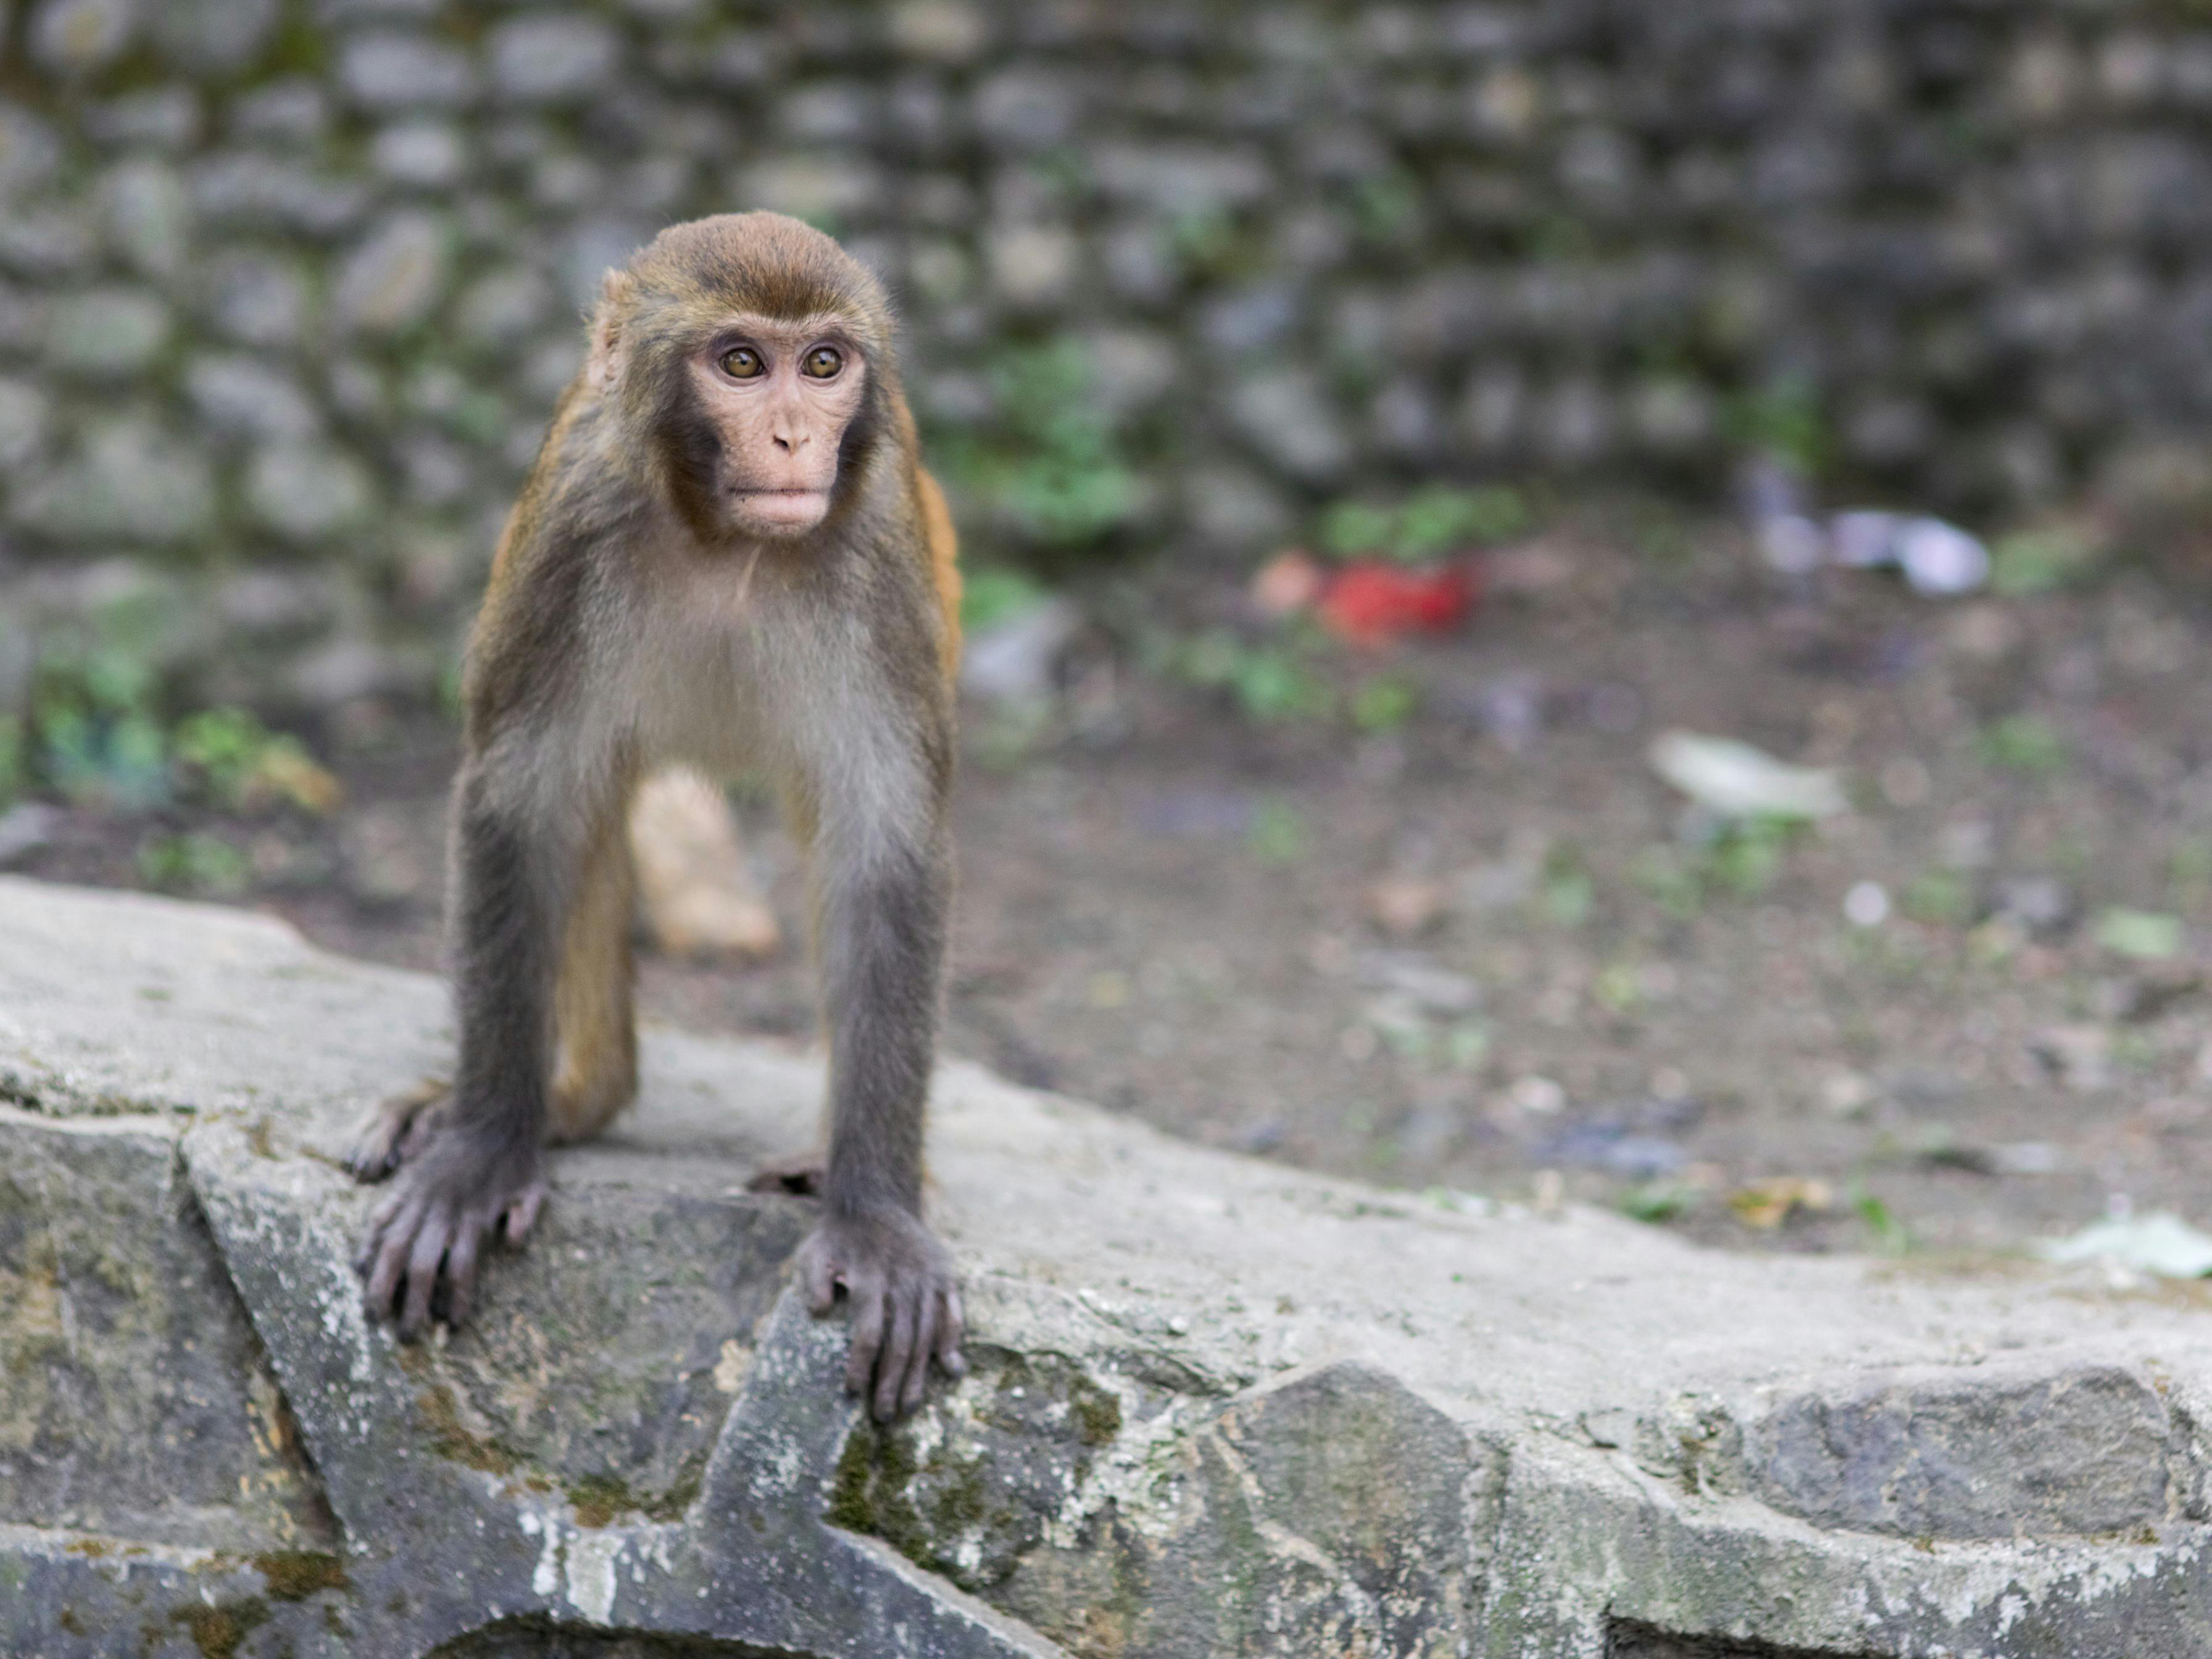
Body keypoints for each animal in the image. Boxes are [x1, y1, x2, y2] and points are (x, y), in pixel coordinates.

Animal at [346, 213, 967, 1421]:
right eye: (742, 364)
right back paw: (571, 1101)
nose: (791, 437)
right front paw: (482, 1148)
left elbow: (883, 852)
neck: (727, 543)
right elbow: (526, 805)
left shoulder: (879, 560)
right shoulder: (571, 531)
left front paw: (877, 1215)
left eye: (825, 364)